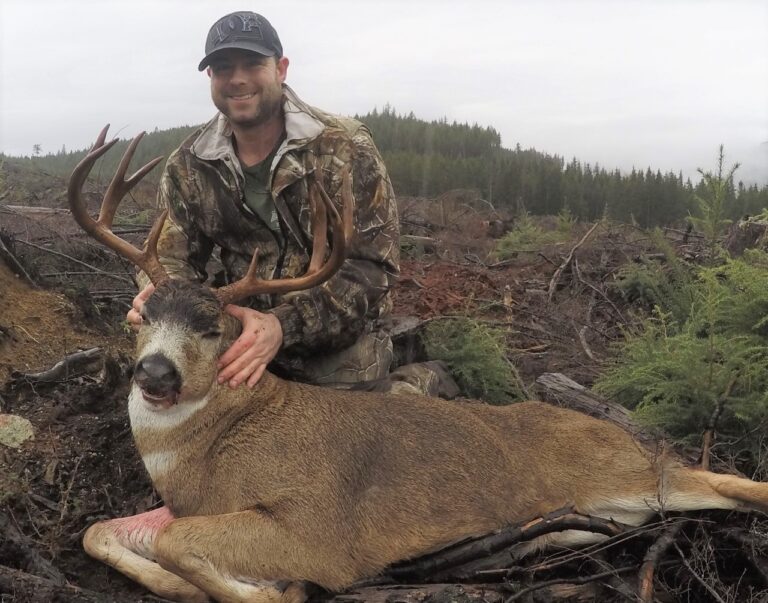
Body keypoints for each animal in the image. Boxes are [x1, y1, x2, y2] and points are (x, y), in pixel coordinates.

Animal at [70, 126, 768, 603]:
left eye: (214, 328)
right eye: (142, 317)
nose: (154, 375)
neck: (206, 453)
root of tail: (630, 438)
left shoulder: (319, 529)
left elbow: (181, 544)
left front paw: (276, 588)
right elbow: (100, 531)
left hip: (639, 472)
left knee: (724, 480)